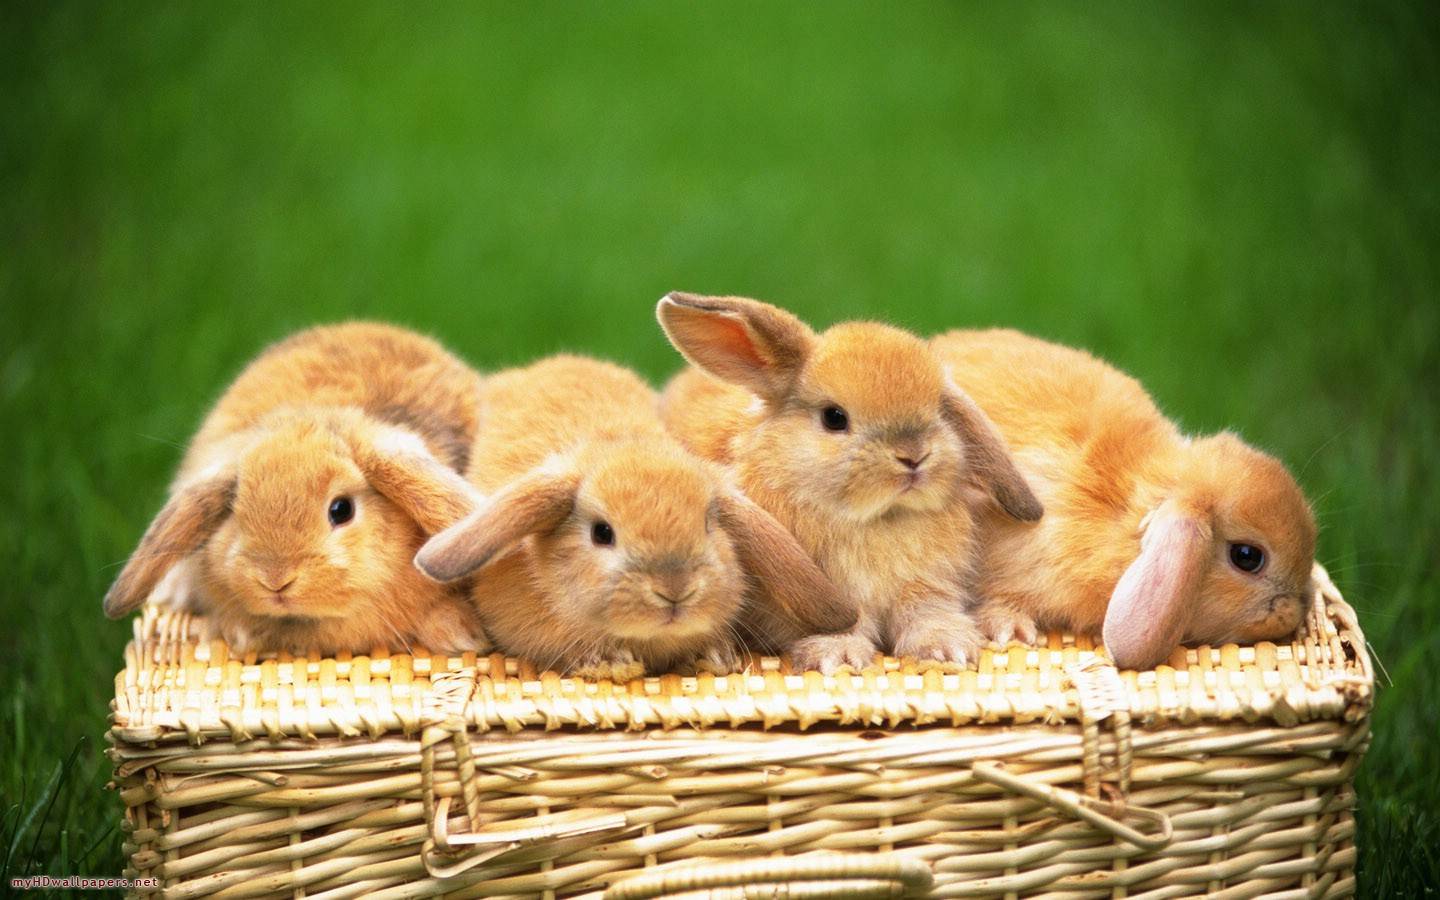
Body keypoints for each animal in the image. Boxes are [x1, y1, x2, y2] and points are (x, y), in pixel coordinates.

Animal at [656, 293, 1043, 674]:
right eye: (834, 417)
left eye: (937, 408)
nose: (914, 455)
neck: (877, 518)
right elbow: (846, 626)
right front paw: (837, 656)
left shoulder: (926, 585)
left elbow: (927, 612)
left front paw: (948, 648)